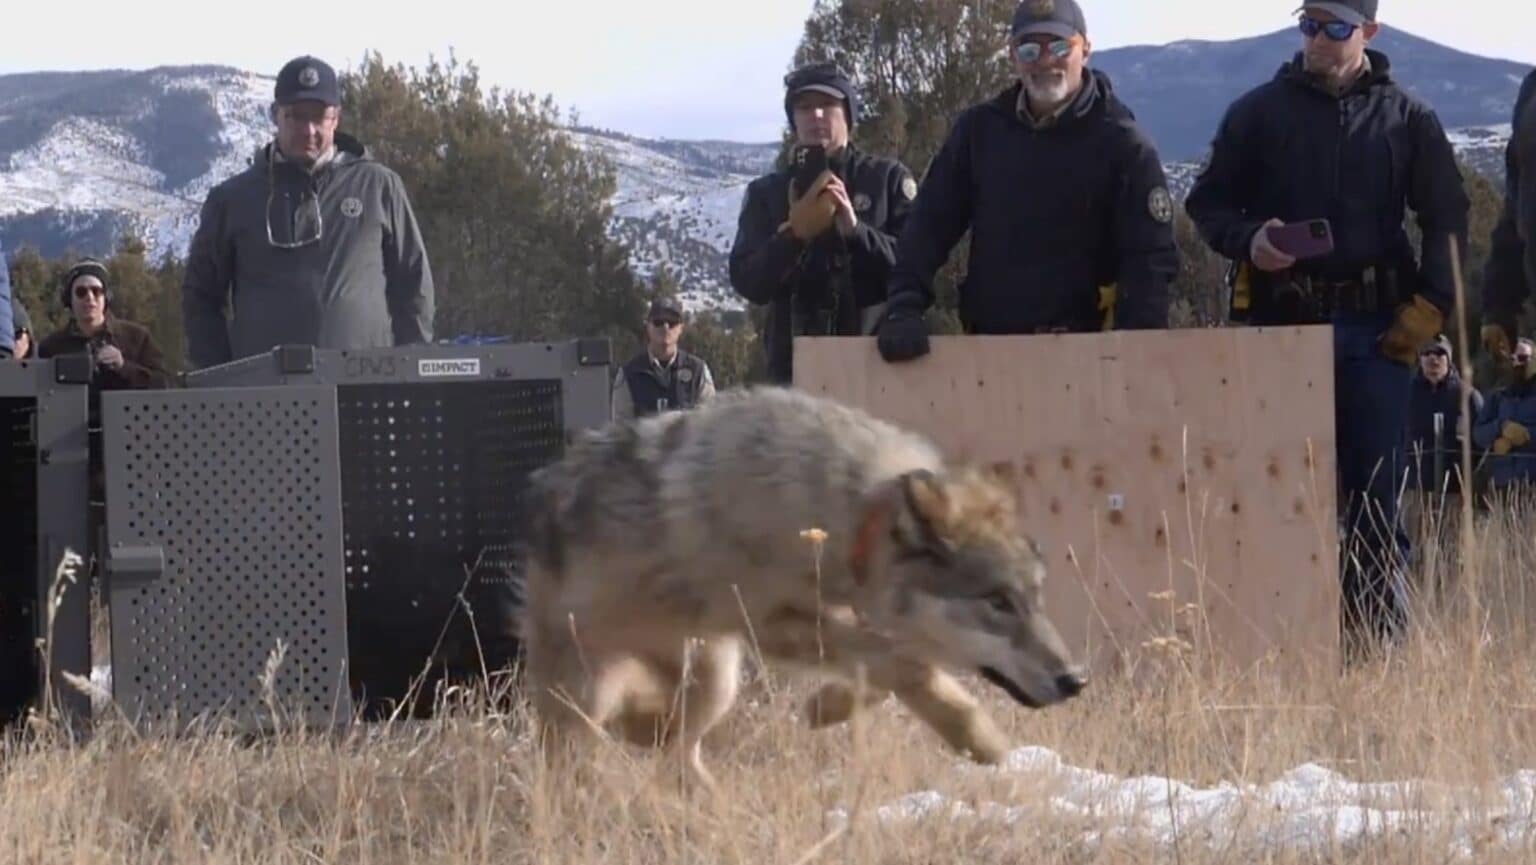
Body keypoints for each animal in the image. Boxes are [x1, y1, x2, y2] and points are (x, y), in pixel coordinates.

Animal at [517, 386, 1087, 789]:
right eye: (998, 602)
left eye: (1036, 598)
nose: (1075, 680)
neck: (847, 515)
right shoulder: (774, 625)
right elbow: (905, 663)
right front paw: (979, 739)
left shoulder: (830, 620)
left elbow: (896, 664)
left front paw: (827, 707)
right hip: (590, 703)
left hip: (715, 677)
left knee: (675, 749)